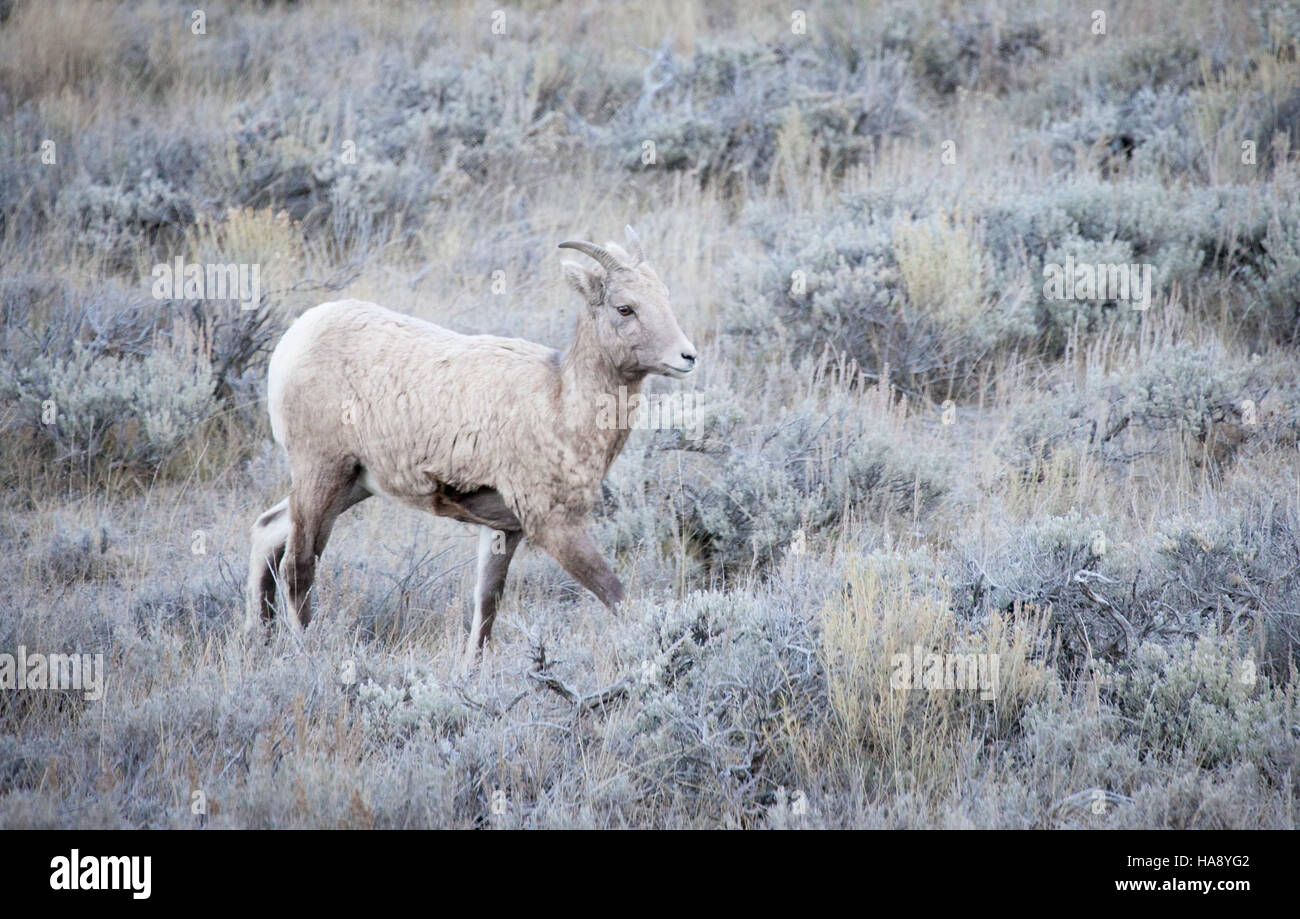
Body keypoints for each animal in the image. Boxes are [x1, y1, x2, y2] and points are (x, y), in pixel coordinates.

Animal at [245, 226, 697, 658]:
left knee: (269, 531)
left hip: (352, 485)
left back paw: (263, 641)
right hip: (321, 472)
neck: (561, 400)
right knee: (299, 564)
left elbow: (485, 610)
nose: (687, 356)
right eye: (625, 308)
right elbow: (618, 598)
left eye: (664, 296)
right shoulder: (555, 525)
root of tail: (294, 340)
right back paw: (307, 651)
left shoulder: (503, 529)